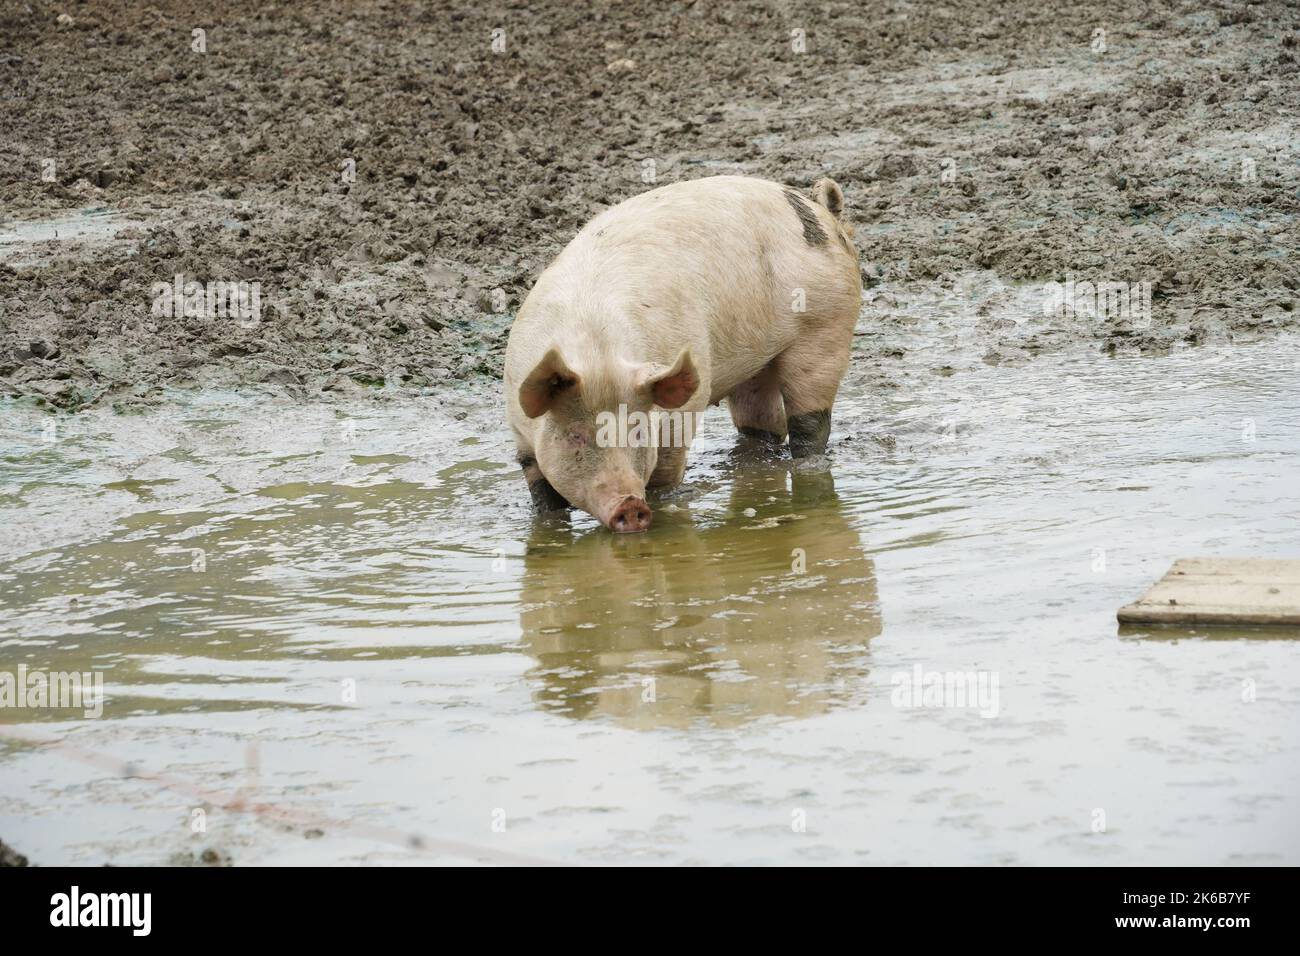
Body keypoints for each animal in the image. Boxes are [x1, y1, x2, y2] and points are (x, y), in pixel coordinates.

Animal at [503, 174, 861, 532]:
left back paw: (807, 464)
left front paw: (665, 503)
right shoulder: (521, 435)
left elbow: (665, 470)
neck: (597, 352)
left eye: (637, 429)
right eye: (576, 435)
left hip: (827, 326)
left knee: (809, 420)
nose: (629, 505)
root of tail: (820, 212)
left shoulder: (686, 403)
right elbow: (542, 494)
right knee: (761, 422)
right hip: (757, 360)